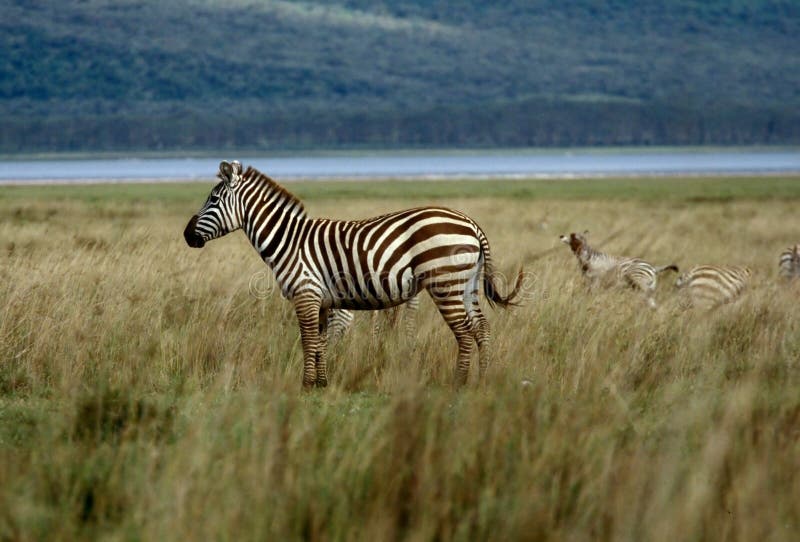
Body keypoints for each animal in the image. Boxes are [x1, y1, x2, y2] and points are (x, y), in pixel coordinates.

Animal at [184, 161, 522, 388]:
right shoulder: (321, 301)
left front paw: (305, 384)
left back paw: (459, 382)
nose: (187, 235)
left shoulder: (305, 294)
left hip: (445, 283)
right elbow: (320, 342)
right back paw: (483, 379)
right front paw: (321, 382)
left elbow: (307, 340)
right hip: (466, 283)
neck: (288, 240)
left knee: (464, 333)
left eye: (213, 200)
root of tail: (471, 223)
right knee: (481, 328)